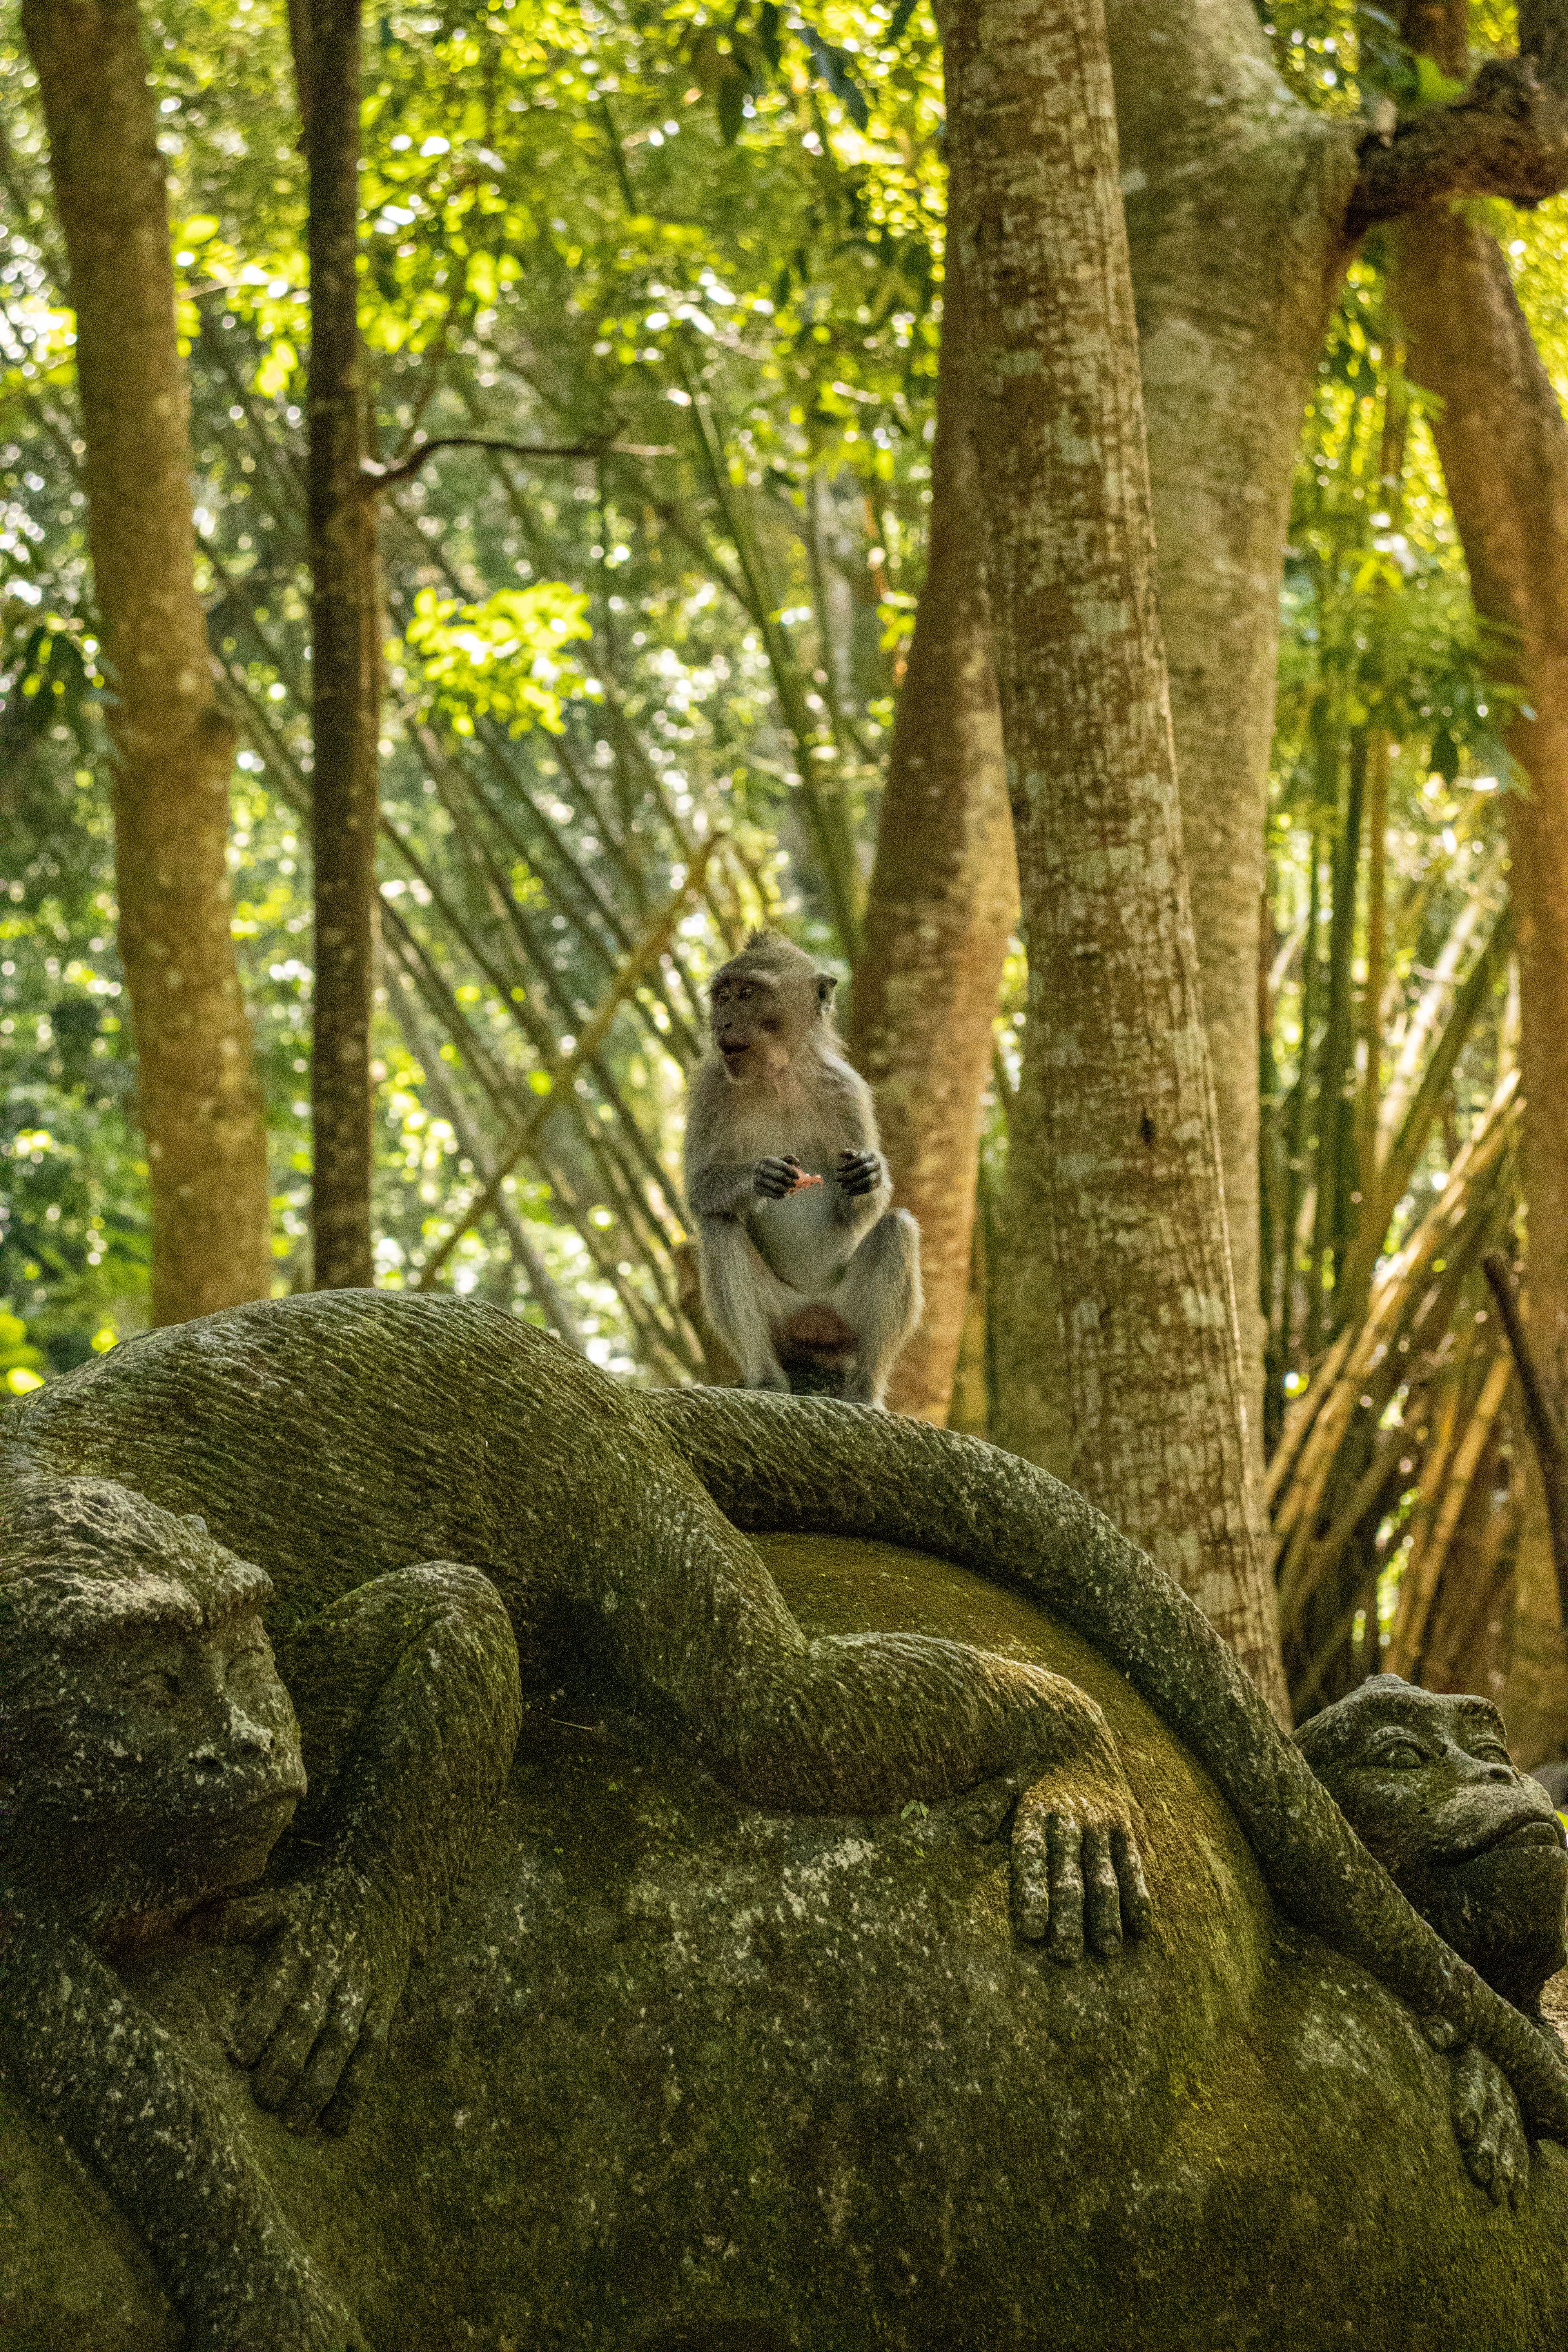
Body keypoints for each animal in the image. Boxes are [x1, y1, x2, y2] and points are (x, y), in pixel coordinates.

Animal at [683, 929, 922, 1406]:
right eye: (721, 996)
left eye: (747, 994)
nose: (722, 1024)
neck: (778, 1074)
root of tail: (814, 1323)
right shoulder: (710, 1087)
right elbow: (699, 1190)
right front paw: (757, 1176)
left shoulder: (847, 1088)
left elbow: (858, 1212)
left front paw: (870, 1175)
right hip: (783, 1321)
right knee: (719, 1225)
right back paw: (766, 1382)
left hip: (844, 1315)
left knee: (898, 1228)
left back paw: (864, 1392)